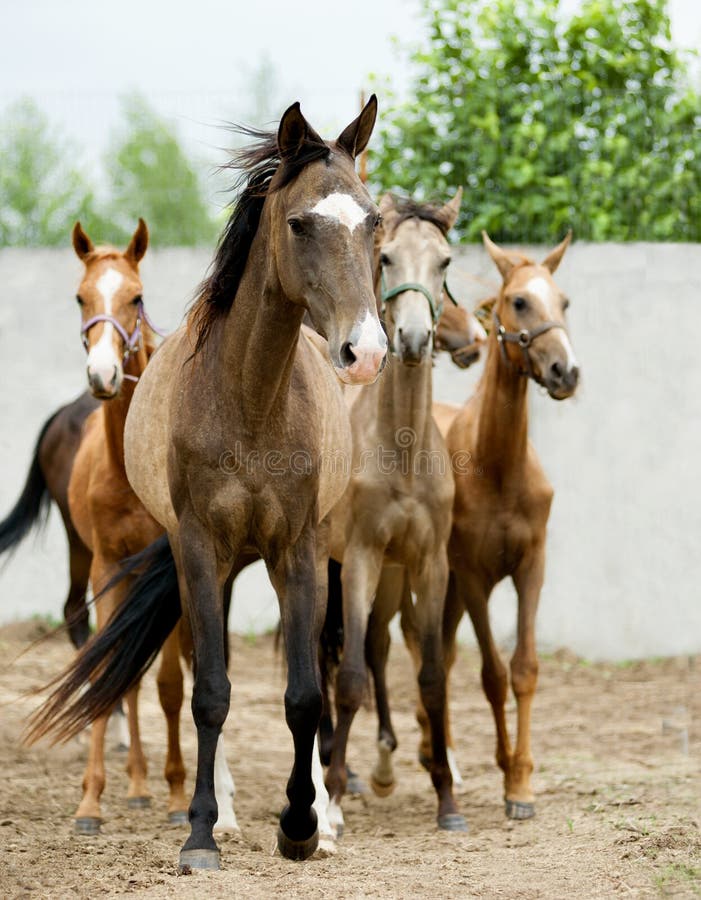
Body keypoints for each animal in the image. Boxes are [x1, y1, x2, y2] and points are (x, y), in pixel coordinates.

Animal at [28, 97, 388, 869]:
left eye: (373, 220)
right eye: (299, 223)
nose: (366, 351)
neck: (249, 399)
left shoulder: (300, 550)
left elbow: (304, 693)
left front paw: (302, 823)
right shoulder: (196, 548)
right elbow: (210, 692)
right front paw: (200, 828)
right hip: (211, 567)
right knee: (198, 667)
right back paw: (219, 811)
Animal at [401, 230, 580, 819]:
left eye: (564, 301)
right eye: (518, 301)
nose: (566, 372)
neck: (497, 465)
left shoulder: (531, 567)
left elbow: (523, 669)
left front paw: (520, 782)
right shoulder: (475, 576)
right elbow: (493, 674)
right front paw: (508, 775)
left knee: (440, 649)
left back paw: (440, 752)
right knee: (420, 644)